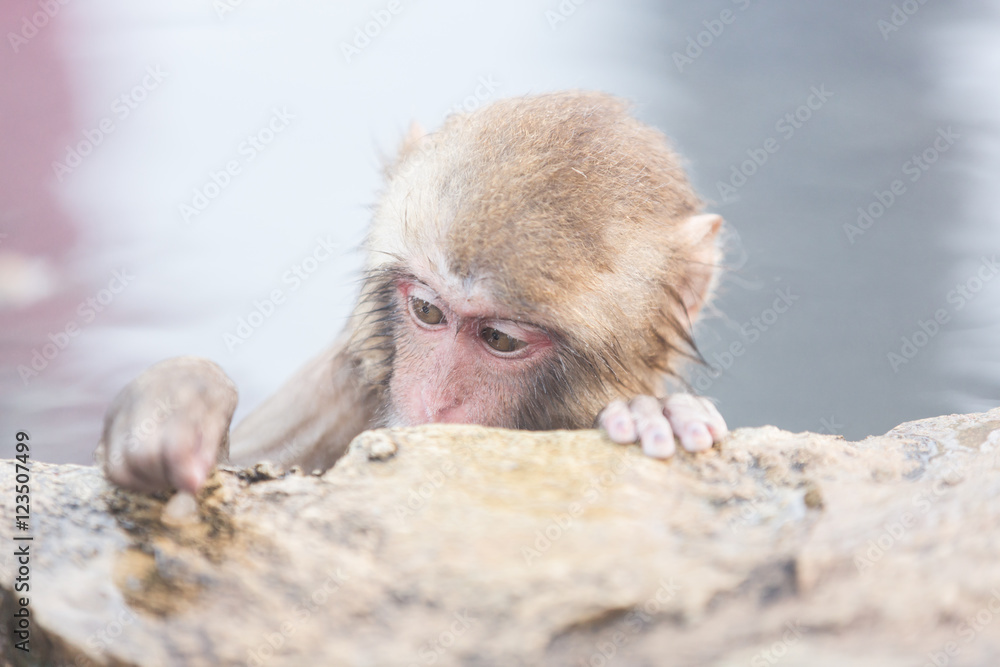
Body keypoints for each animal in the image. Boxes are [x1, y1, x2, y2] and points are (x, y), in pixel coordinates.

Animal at [96, 91, 728, 495]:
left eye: (501, 339)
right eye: (427, 310)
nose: (431, 405)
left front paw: (658, 414)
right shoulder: (344, 383)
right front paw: (177, 404)